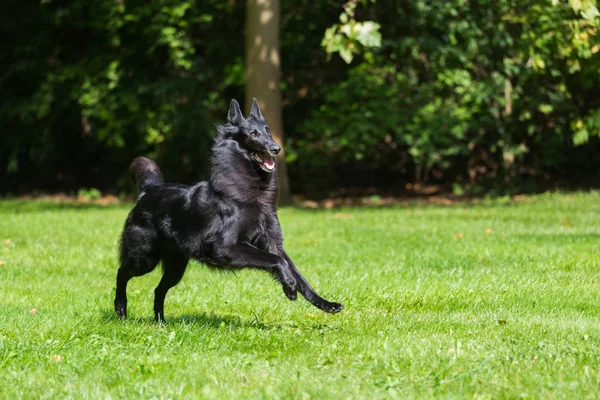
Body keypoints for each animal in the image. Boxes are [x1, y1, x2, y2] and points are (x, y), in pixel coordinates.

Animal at [115, 99, 344, 322]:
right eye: (252, 134)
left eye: (268, 131)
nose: (276, 148)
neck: (252, 195)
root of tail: (149, 190)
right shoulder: (226, 248)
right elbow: (278, 262)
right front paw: (289, 287)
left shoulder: (273, 243)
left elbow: (298, 274)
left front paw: (324, 303)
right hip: (144, 258)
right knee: (122, 272)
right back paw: (120, 310)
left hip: (175, 267)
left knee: (158, 290)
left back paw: (160, 321)